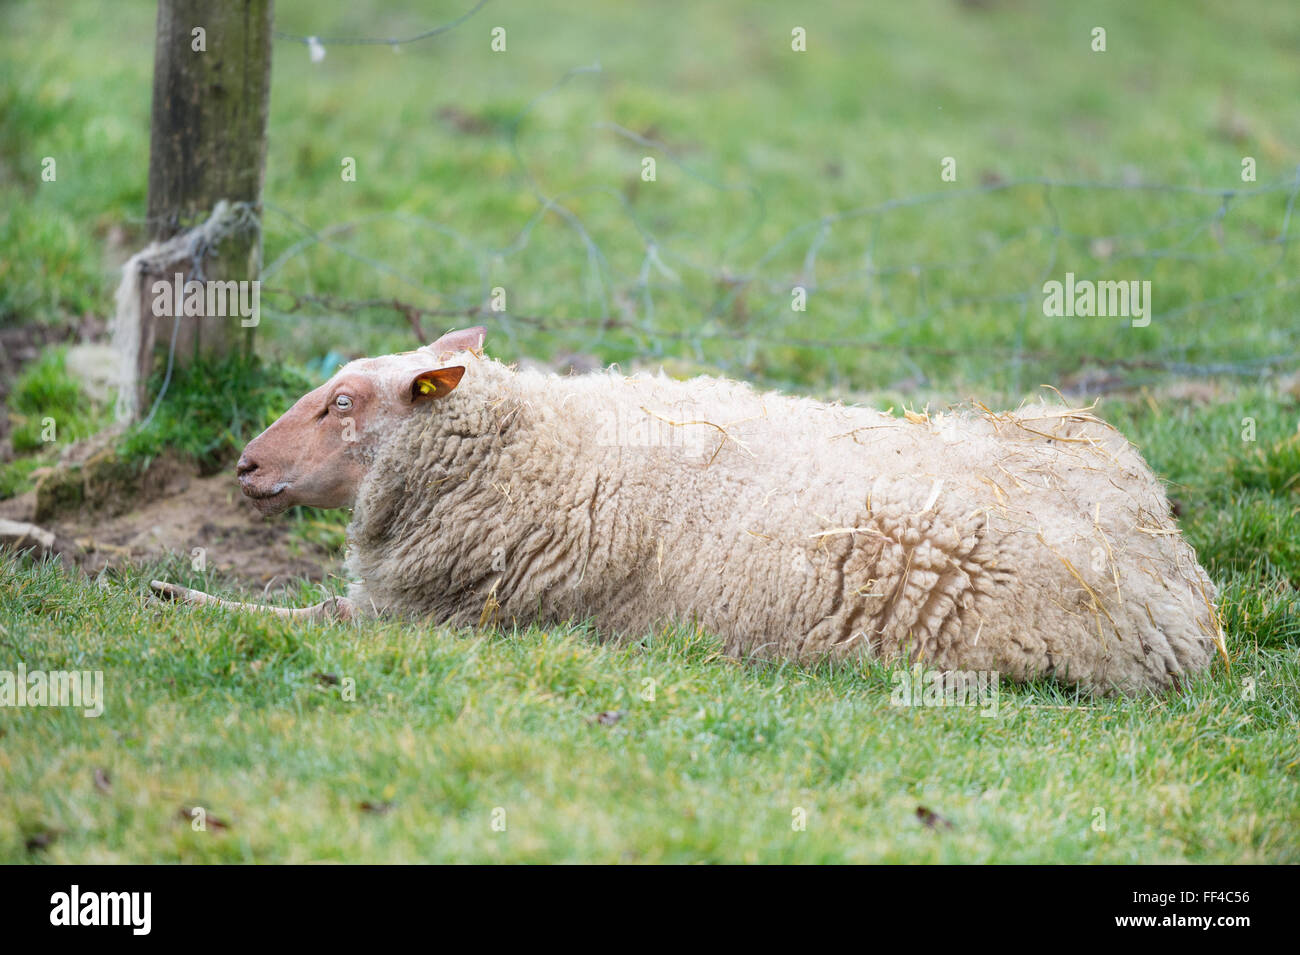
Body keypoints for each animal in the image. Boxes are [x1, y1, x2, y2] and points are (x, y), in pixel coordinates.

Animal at [153, 327, 1224, 695]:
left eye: (341, 402)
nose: (245, 464)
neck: (534, 444)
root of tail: (1183, 585)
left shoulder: (423, 618)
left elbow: (297, 615)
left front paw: (170, 595)